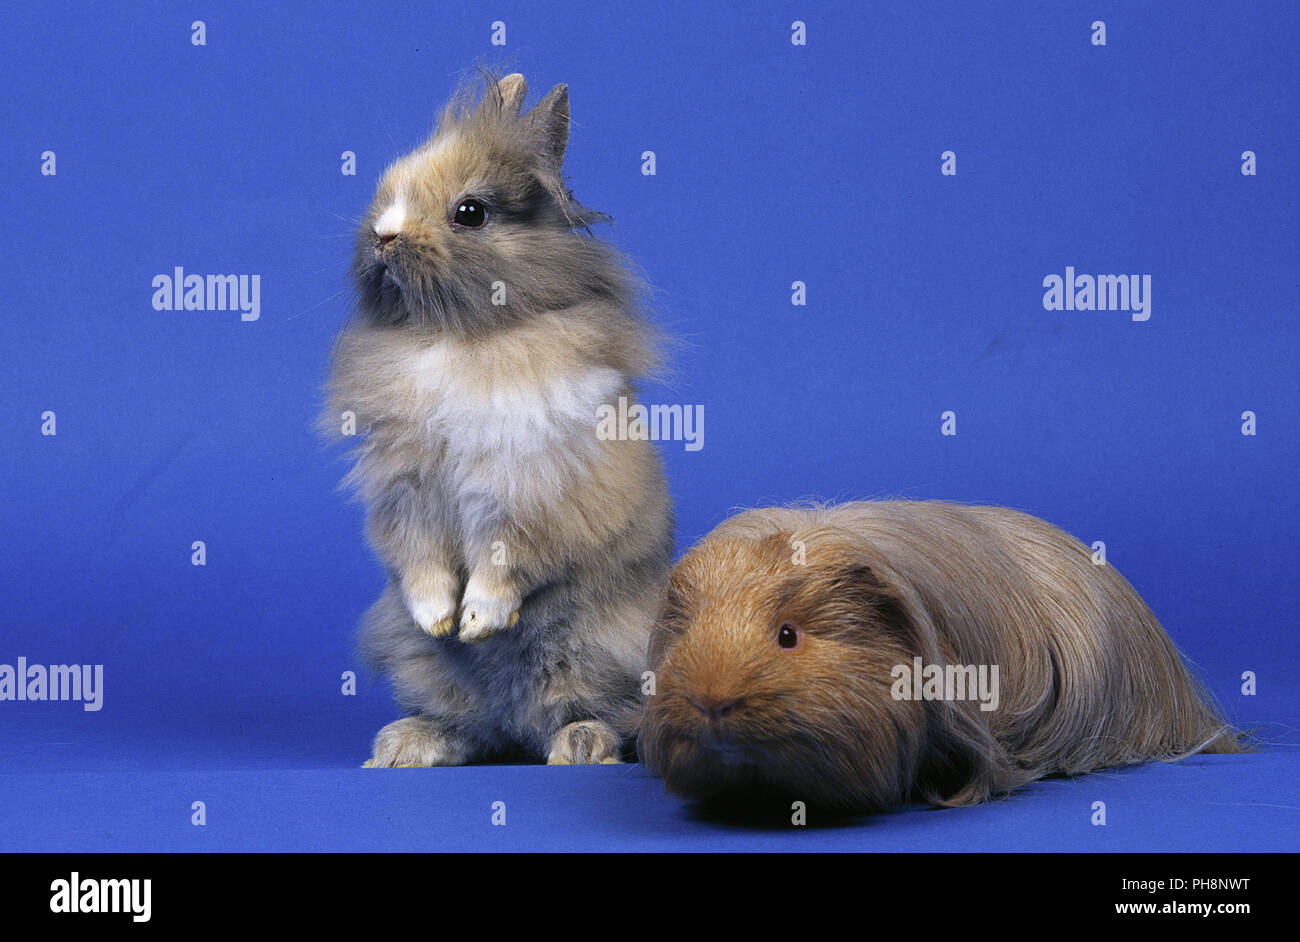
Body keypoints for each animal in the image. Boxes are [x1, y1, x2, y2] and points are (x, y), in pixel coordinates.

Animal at [321, 72, 673, 767]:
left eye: (470, 213)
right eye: (388, 187)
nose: (383, 235)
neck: (455, 339)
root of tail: (518, 727)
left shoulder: (530, 491)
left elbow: (506, 560)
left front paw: (477, 621)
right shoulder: (405, 494)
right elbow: (421, 563)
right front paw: (440, 618)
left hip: (602, 651)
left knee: (600, 714)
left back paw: (578, 746)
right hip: (422, 665)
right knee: (472, 728)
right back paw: (403, 746)